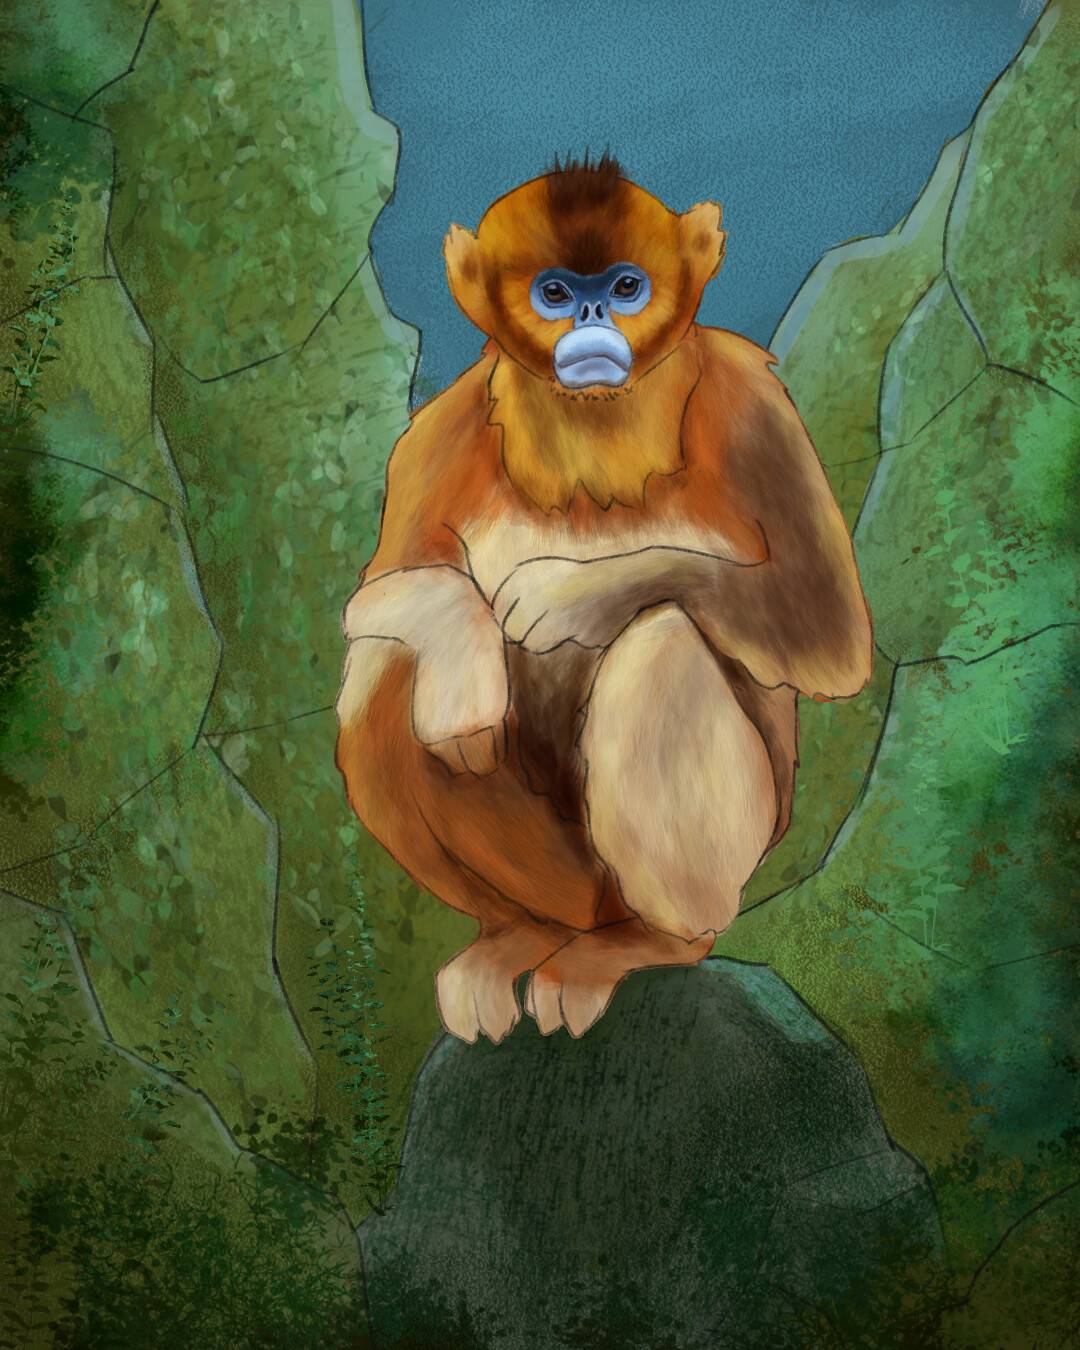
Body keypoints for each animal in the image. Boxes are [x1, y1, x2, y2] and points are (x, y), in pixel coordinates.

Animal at [334, 152, 873, 1045]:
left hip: (710, 857)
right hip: (554, 872)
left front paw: (572, 592)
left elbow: (829, 630)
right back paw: (514, 935)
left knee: (659, 641)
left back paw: (649, 948)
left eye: (625, 287)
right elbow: (373, 600)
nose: (591, 316)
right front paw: (464, 662)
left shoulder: (749, 400)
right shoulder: (443, 424)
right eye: (554, 293)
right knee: (383, 674)